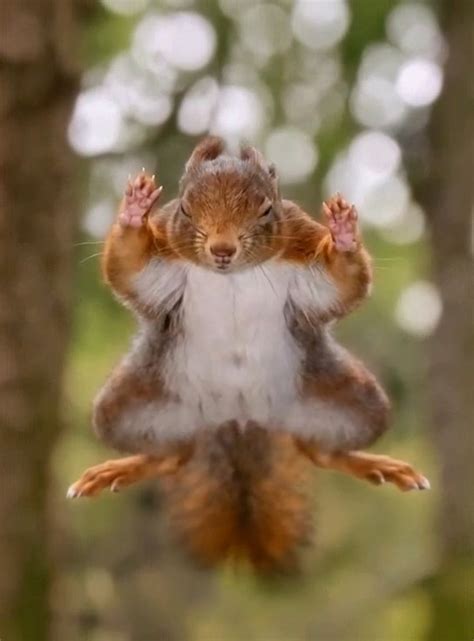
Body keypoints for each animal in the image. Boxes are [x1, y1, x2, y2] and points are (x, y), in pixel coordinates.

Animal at [68, 136, 430, 573]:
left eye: (266, 209)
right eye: (185, 207)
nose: (222, 249)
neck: (232, 276)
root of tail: (239, 422)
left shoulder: (302, 255)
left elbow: (341, 283)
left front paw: (344, 234)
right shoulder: (164, 267)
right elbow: (129, 267)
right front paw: (135, 213)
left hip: (355, 402)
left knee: (319, 451)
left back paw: (372, 463)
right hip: (123, 408)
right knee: (173, 455)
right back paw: (125, 466)